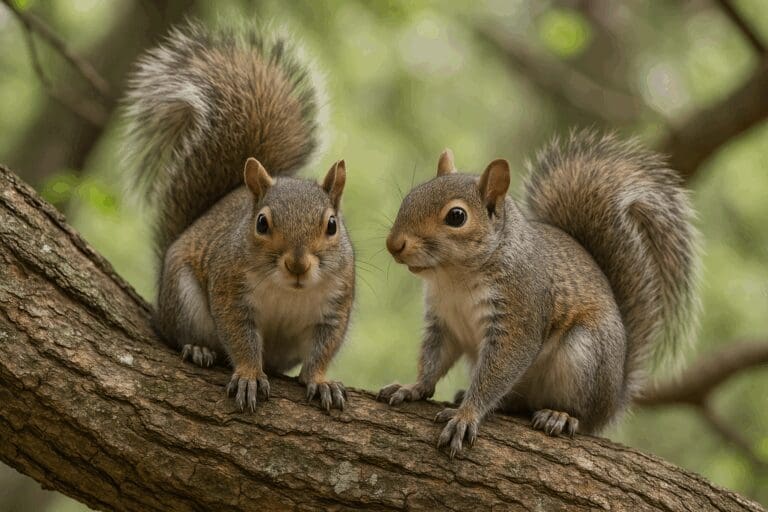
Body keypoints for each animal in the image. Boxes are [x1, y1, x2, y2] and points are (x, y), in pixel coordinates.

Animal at [122, 21, 355, 412]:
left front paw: (321, 381)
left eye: (332, 225)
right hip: (183, 300)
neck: (288, 289)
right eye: (261, 223)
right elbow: (240, 338)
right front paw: (248, 376)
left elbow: (324, 349)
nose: (297, 265)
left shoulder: (336, 303)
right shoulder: (230, 290)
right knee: (178, 334)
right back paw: (197, 349)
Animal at [378, 131, 699, 456]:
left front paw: (466, 415)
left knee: (583, 417)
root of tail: (614, 399)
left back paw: (560, 416)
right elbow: (433, 358)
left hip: (586, 355)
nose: (394, 244)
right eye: (410, 196)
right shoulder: (444, 322)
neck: (454, 278)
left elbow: (498, 369)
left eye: (456, 216)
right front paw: (413, 387)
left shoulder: (521, 310)